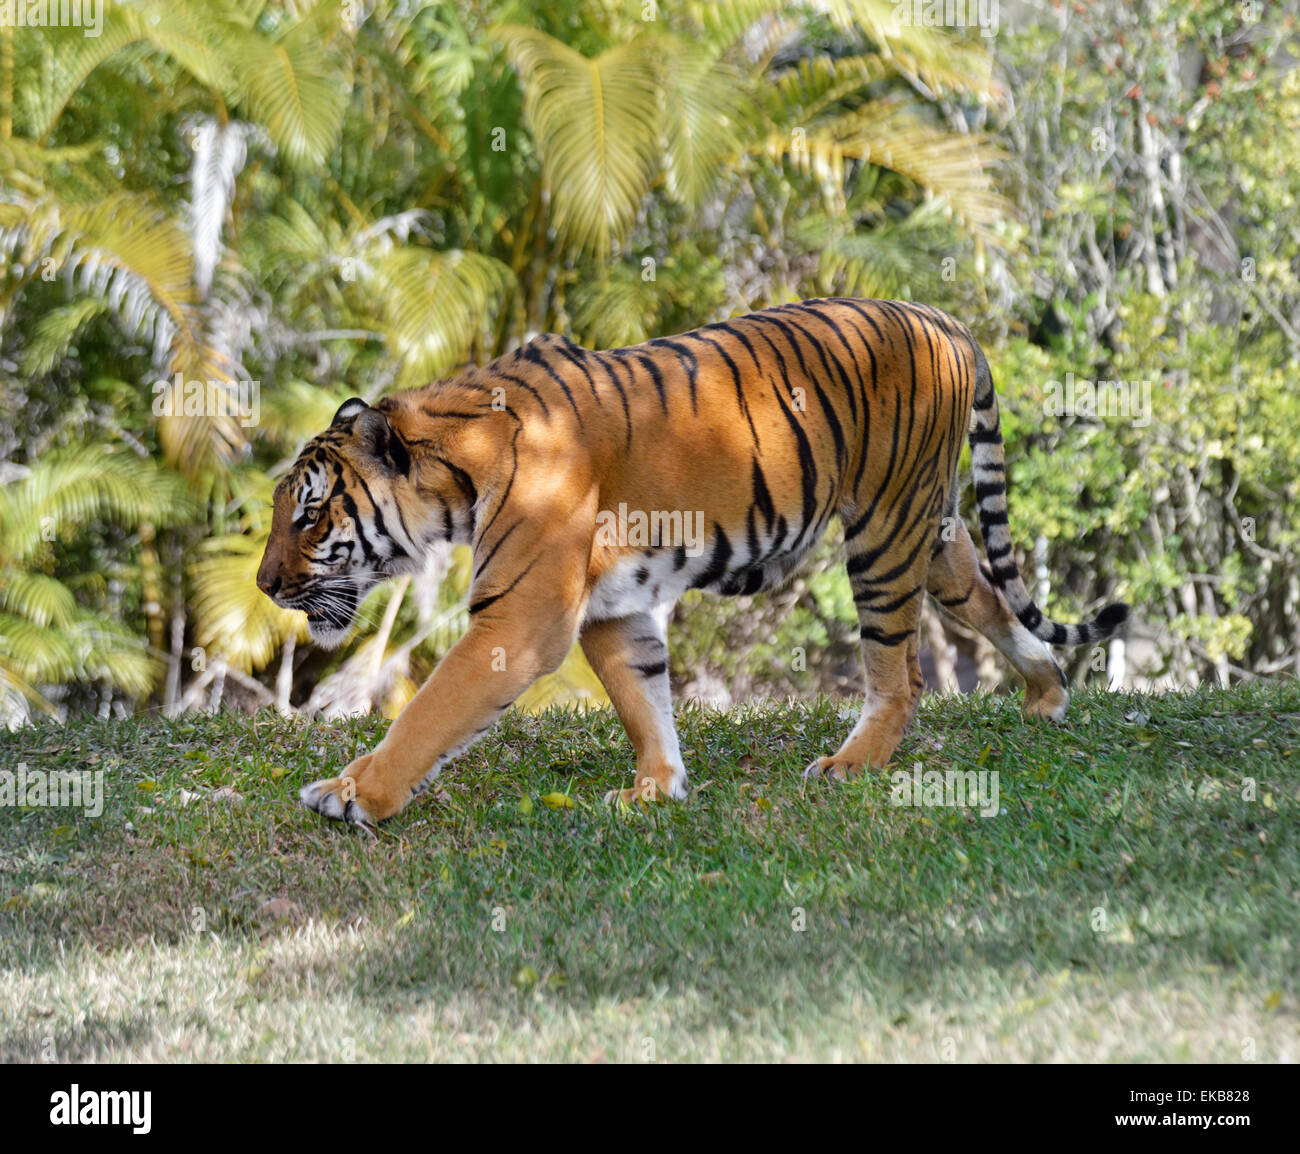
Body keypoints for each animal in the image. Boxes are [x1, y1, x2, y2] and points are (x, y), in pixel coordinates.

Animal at [256, 297, 1127, 832]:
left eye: (309, 514)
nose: (264, 585)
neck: (458, 478)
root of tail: (938, 316)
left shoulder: (520, 619)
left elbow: (428, 714)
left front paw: (353, 794)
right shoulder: (611, 607)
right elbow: (644, 697)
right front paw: (656, 788)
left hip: (883, 533)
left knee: (902, 673)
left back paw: (849, 765)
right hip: (931, 527)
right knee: (991, 600)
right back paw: (1047, 694)